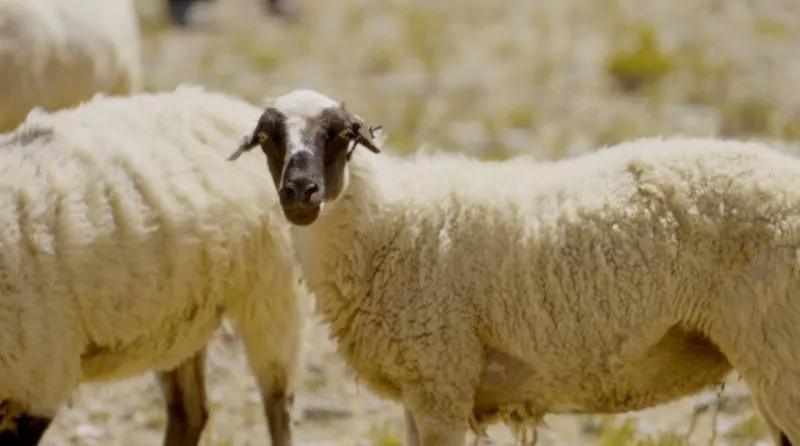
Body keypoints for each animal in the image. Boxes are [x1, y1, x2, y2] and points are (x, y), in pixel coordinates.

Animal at [0, 85, 305, 446]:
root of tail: (227, 103)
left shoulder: (35, 383)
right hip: (184, 318)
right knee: (191, 412)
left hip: (271, 291)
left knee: (278, 402)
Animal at [230, 88, 800, 446]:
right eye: (268, 138)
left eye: (340, 135)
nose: (300, 193)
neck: (386, 223)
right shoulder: (420, 386)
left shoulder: (442, 380)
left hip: (779, 349)